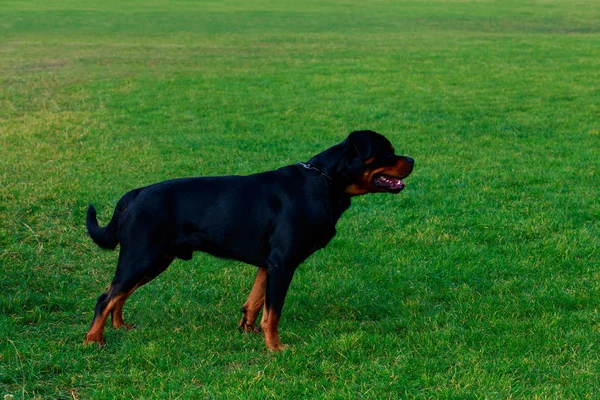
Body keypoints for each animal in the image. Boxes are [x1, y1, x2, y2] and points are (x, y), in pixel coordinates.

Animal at [83, 130, 412, 350]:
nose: (411, 158)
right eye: (387, 152)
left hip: (154, 259)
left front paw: (249, 331)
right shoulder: (283, 263)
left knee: (118, 294)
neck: (324, 182)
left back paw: (119, 326)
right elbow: (273, 312)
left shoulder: (268, 264)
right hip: (143, 257)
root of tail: (134, 194)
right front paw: (275, 348)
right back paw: (94, 340)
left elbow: (255, 302)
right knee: (106, 297)